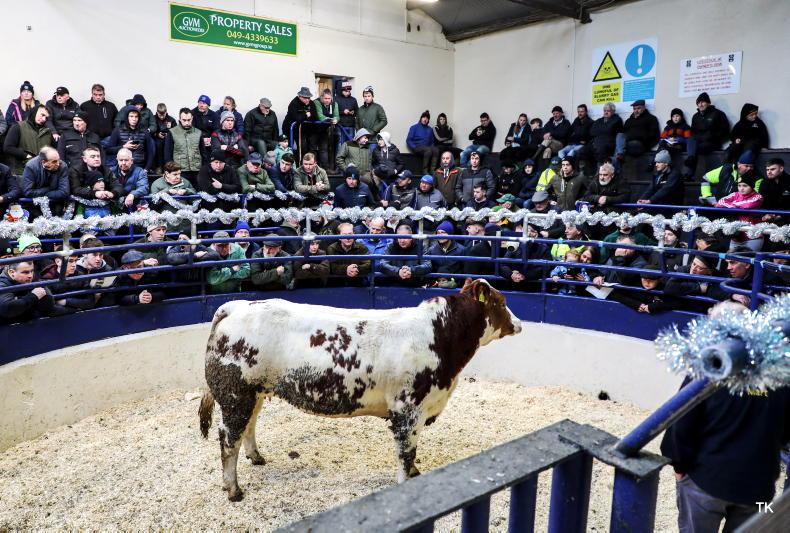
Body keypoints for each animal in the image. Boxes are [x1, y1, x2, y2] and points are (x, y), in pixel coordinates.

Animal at [198, 278, 522, 501]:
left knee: (249, 425)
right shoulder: (407, 411)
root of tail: (237, 305)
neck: (440, 337)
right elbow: (406, 454)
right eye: (501, 301)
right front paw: (407, 481)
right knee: (229, 438)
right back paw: (233, 489)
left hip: (253, 392)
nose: (519, 324)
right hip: (235, 393)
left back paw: (256, 457)